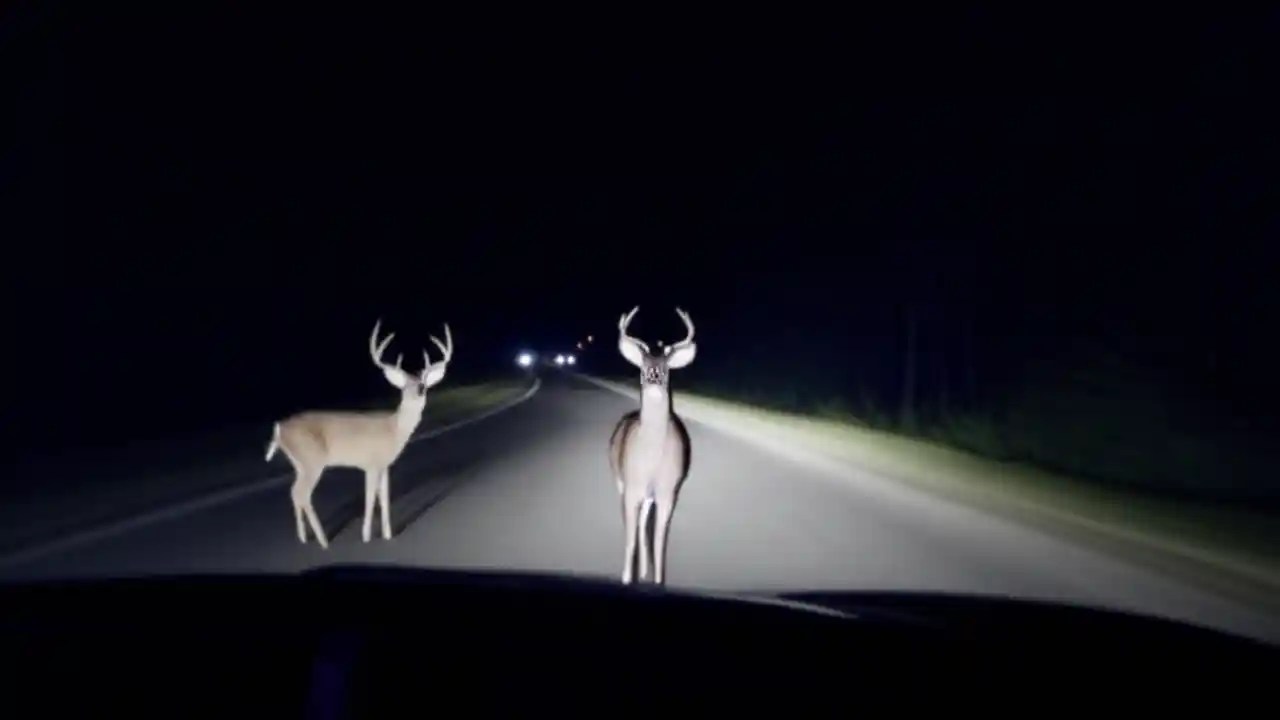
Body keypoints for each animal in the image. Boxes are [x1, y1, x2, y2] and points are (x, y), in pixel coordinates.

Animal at [264, 319, 453, 548]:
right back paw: (323, 541)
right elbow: (370, 498)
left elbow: (384, 498)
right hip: (311, 460)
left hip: (299, 463)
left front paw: (388, 535)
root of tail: (279, 429)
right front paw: (366, 537)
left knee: (294, 493)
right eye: (404, 387)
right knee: (302, 493)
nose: (418, 391)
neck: (393, 429)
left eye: (423, 385)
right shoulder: (370, 463)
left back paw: (303, 538)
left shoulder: (384, 465)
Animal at [608, 306, 696, 585]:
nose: (654, 378)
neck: (652, 455)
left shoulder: (668, 492)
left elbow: (659, 542)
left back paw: (645, 568)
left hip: (647, 494)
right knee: (632, 524)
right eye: (642, 367)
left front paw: (657, 580)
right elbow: (629, 539)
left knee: (644, 519)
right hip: (621, 482)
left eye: (667, 369)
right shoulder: (632, 486)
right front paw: (627, 577)